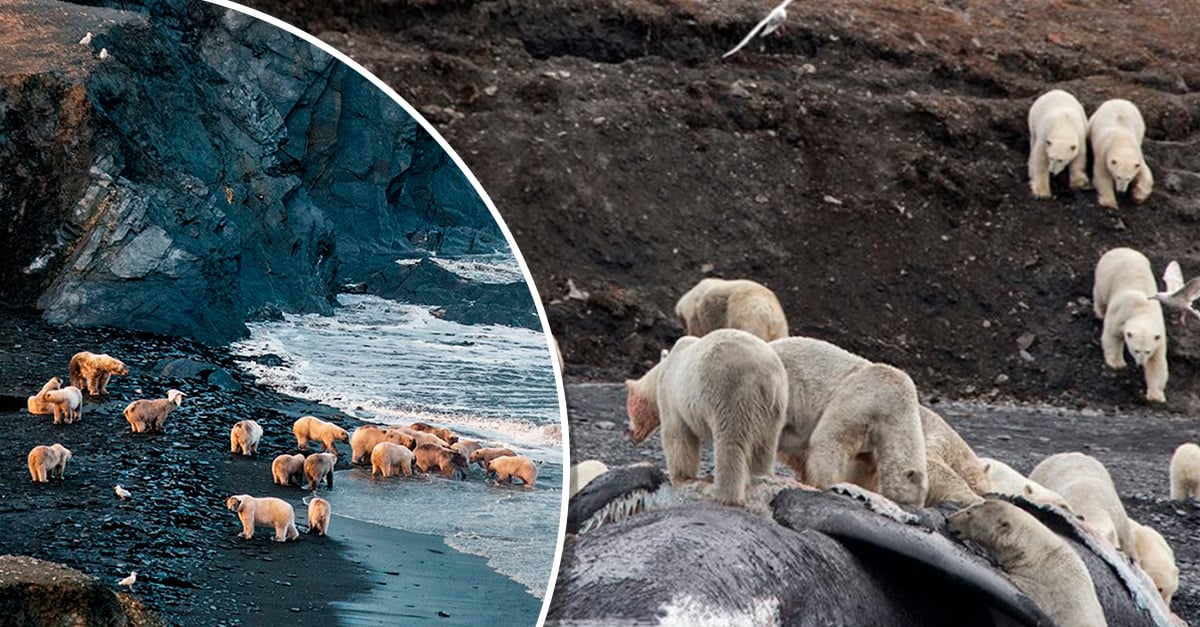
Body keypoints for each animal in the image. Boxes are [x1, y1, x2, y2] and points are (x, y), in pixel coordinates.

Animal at [626, 328, 788, 507]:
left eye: (630, 410)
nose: (630, 435)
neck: (663, 369)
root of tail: (765, 376)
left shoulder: (671, 397)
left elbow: (676, 435)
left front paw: (682, 478)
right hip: (774, 406)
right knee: (764, 445)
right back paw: (759, 476)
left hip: (730, 393)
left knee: (730, 443)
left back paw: (723, 494)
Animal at [767, 336, 928, 508]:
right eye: (909, 502)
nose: (916, 509)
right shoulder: (867, 400)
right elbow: (833, 437)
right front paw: (828, 484)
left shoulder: (873, 444)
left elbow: (863, 467)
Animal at [1093, 247, 1168, 402]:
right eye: (1136, 350)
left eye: (1147, 351)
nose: (1140, 365)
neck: (1142, 310)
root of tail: (1122, 248)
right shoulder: (1120, 314)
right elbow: (1112, 336)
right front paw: (1118, 364)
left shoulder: (1159, 336)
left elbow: (1157, 363)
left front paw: (1156, 395)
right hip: (1104, 275)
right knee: (1099, 296)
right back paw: (1099, 312)